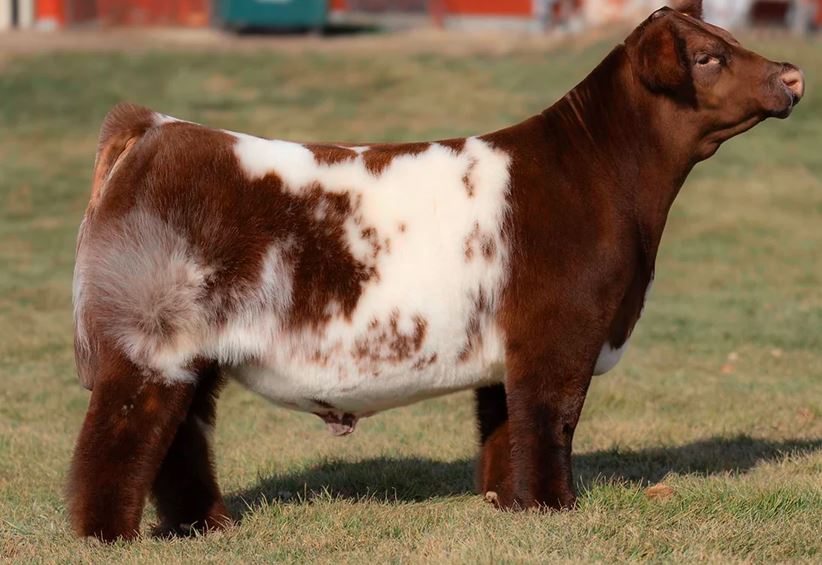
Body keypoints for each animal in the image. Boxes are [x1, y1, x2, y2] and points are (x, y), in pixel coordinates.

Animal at [68, 0, 804, 541]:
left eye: (731, 39)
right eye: (708, 57)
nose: (794, 77)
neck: (604, 179)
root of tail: (159, 128)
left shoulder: (513, 350)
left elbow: (505, 426)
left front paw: (508, 504)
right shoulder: (559, 334)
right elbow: (551, 421)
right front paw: (555, 508)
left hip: (191, 357)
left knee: (179, 440)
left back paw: (206, 526)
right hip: (152, 342)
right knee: (118, 441)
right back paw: (109, 536)